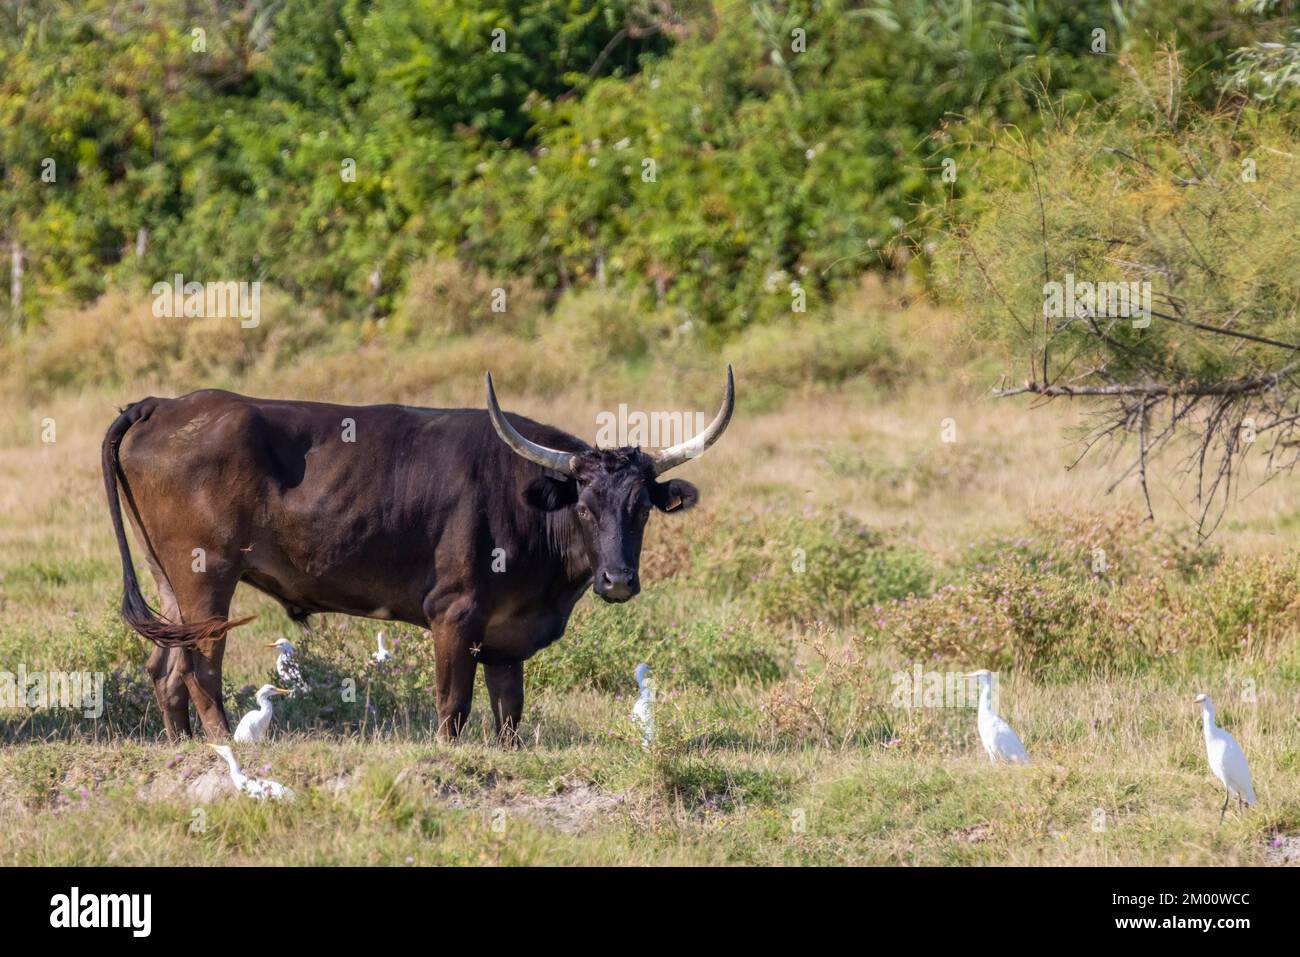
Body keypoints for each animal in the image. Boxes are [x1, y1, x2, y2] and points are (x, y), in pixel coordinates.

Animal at [100, 369, 734, 743]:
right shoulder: (454, 615)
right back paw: (221, 741)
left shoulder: (506, 638)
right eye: (584, 504)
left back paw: (183, 743)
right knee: (200, 665)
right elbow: (453, 707)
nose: (618, 579)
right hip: (208, 577)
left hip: (170, 579)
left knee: (164, 666)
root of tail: (163, 404)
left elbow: (509, 712)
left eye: (641, 508)